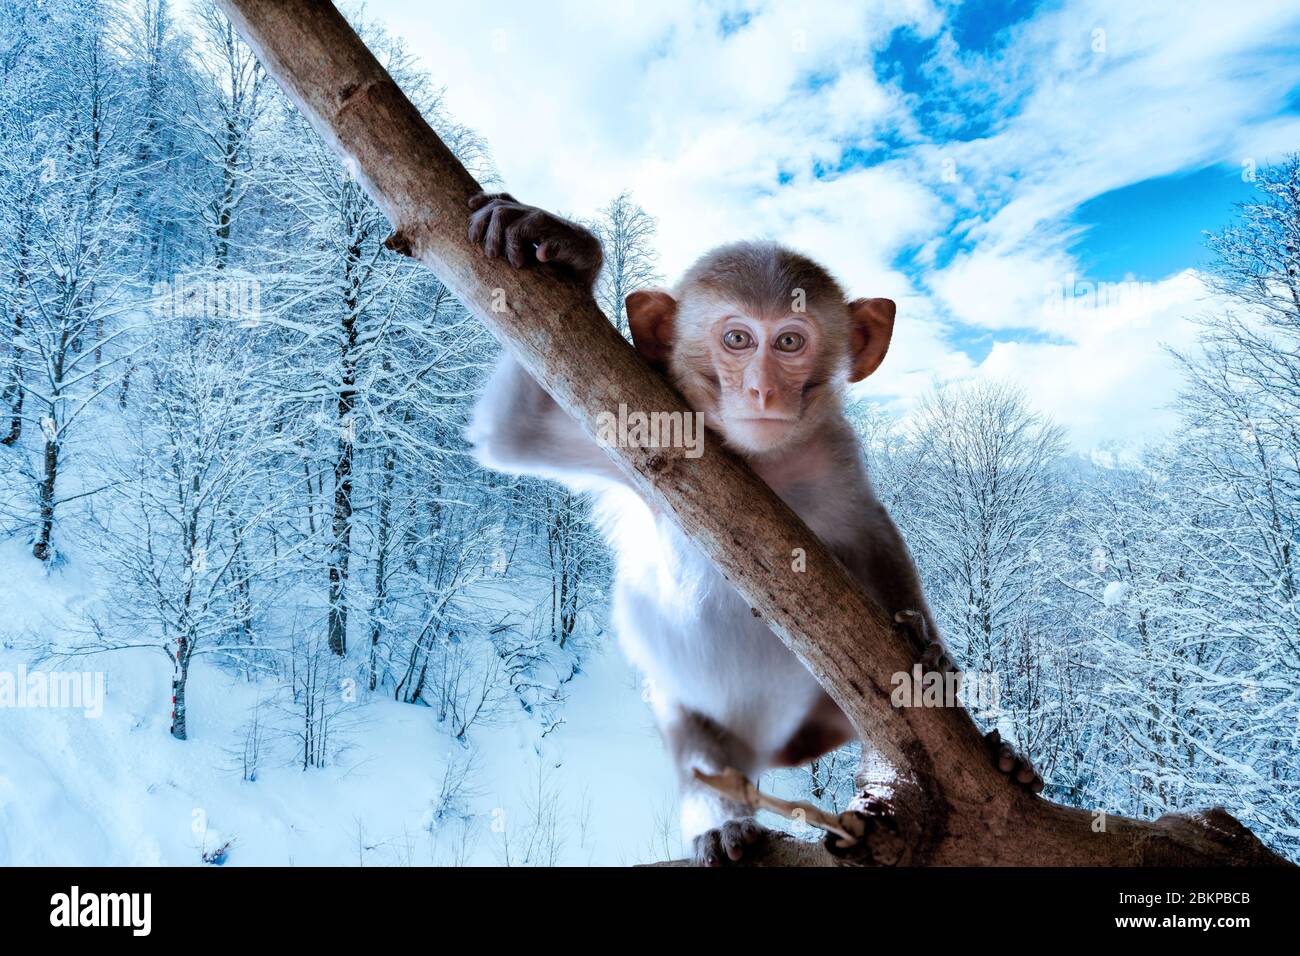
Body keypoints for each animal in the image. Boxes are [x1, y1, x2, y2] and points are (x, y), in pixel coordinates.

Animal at [465, 192, 1043, 865]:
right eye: (738, 339)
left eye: (789, 341)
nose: (762, 389)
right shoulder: (632, 433)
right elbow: (513, 429)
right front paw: (569, 252)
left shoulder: (836, 454)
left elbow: (873, 536)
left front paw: (928, 645)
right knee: (700, 747)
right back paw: (721, 821)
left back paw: (1003, 759)